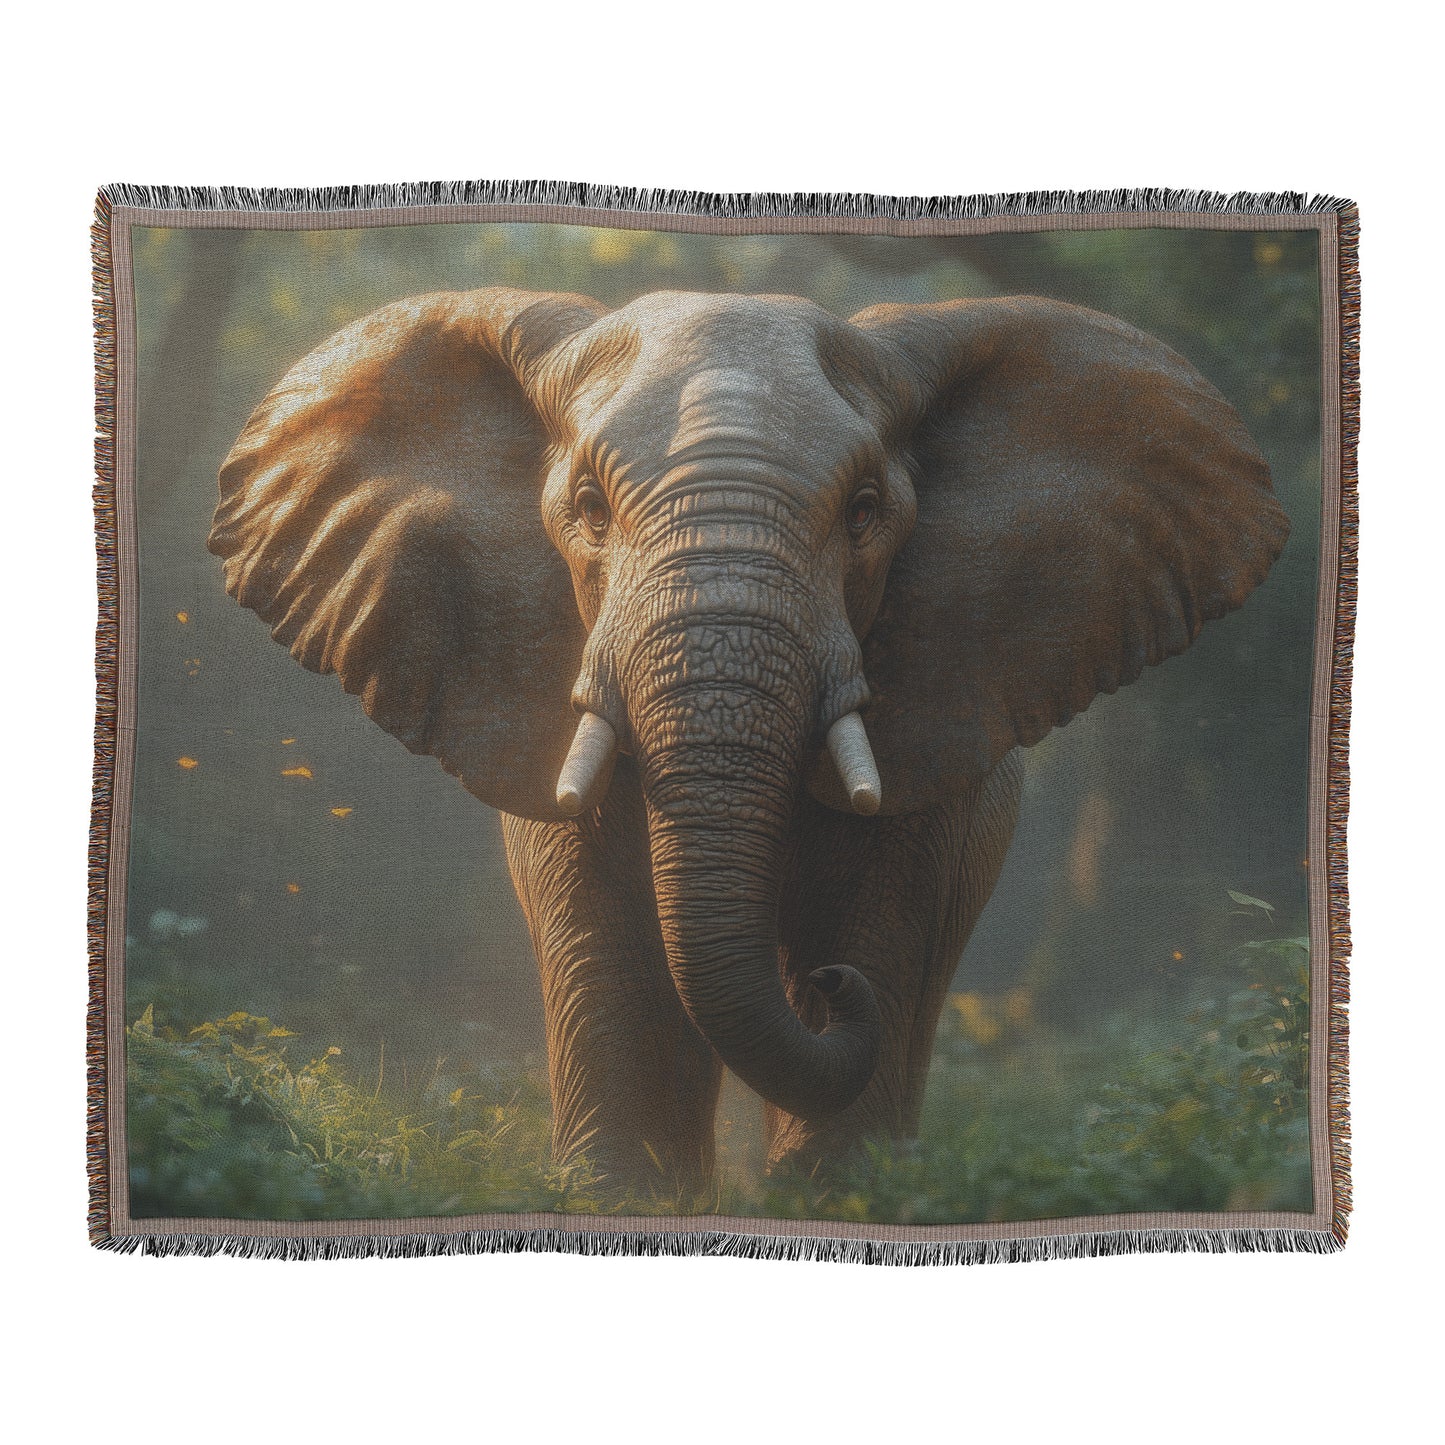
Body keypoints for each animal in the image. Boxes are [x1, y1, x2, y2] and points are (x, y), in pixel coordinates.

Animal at [209, 285, 1288, 1196]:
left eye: (864, 513)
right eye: (588, 508)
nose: (831, 991)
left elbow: (880, 916)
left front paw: (838, 1199)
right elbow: (612, 937)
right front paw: (626, 1202)